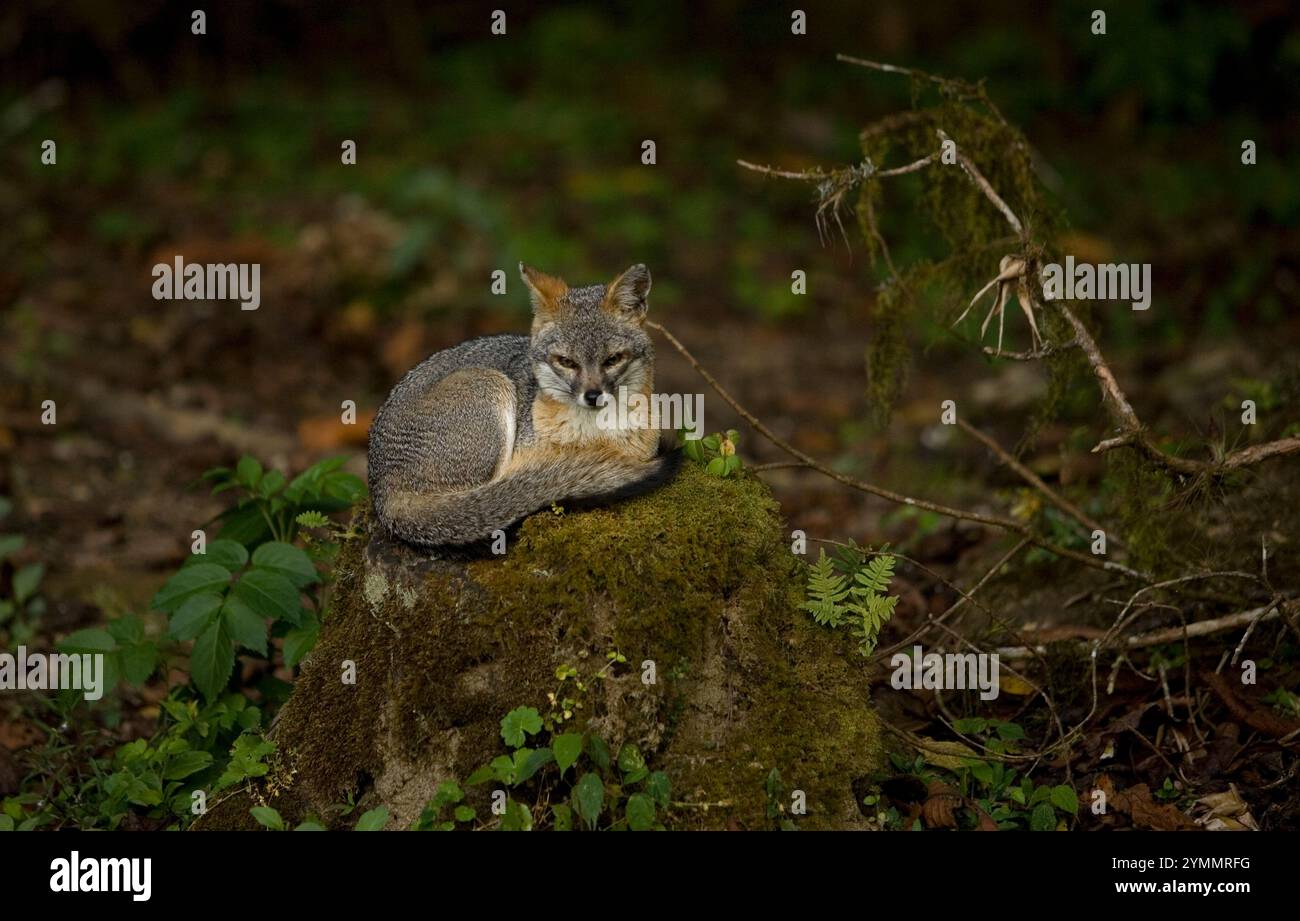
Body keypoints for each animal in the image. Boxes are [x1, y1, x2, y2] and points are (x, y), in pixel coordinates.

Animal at [367, 262, 681, 548]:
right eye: (566, 362)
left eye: (613, 359)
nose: (593, 396)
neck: (596, 437)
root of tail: (380, 491)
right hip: (490, 385)